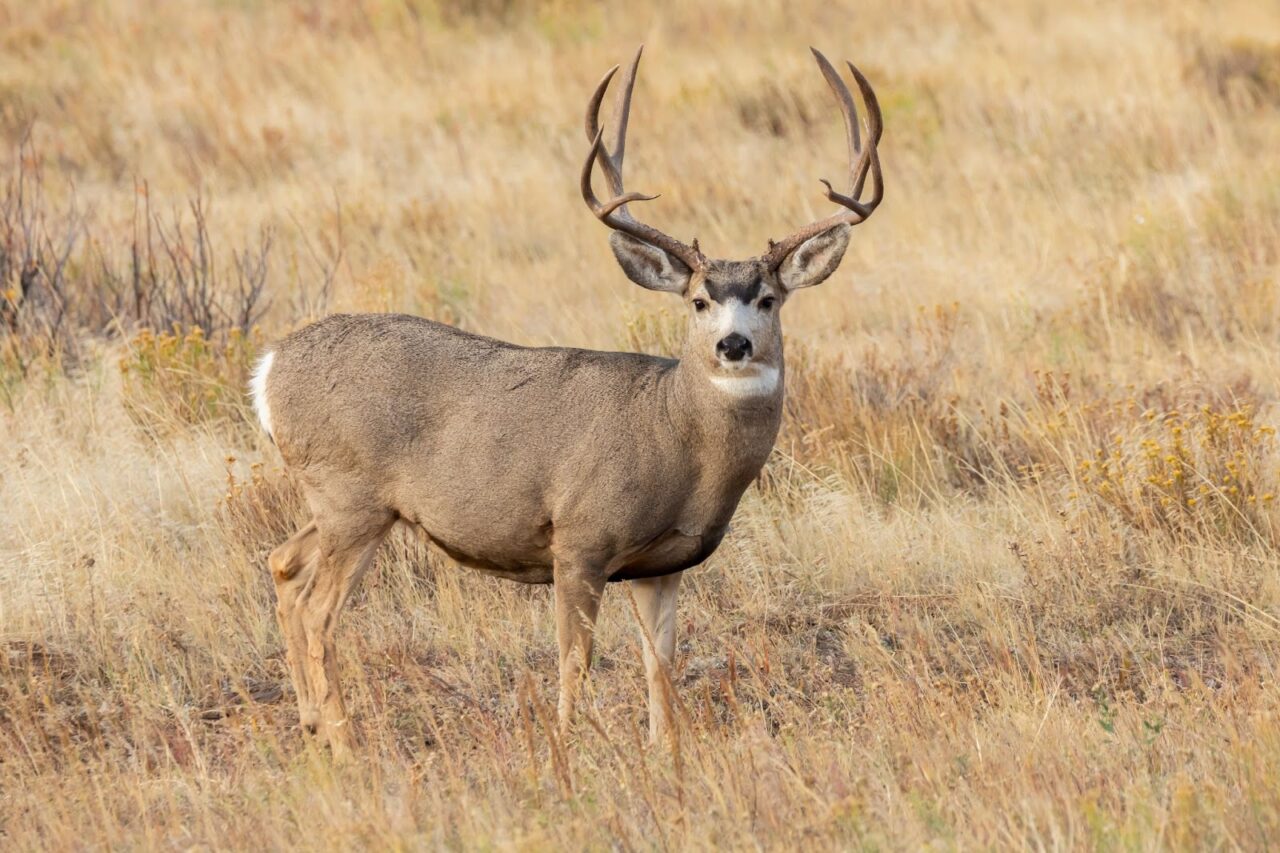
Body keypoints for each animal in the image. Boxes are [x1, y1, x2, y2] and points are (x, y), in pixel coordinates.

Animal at [253, 46, 883, 758]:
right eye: (699, 301)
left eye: (770, 299)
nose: (734, 343)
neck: (676, 438)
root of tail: (268, 369)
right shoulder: (580, 539)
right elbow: (574, 660)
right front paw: (565, 747)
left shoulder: (660, 564)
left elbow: (660, 666)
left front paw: (667, 753)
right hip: (350, 495)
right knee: (317, 608)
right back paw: (343, 740)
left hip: (345, 503)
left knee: (283, 565)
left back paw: (311, 722)